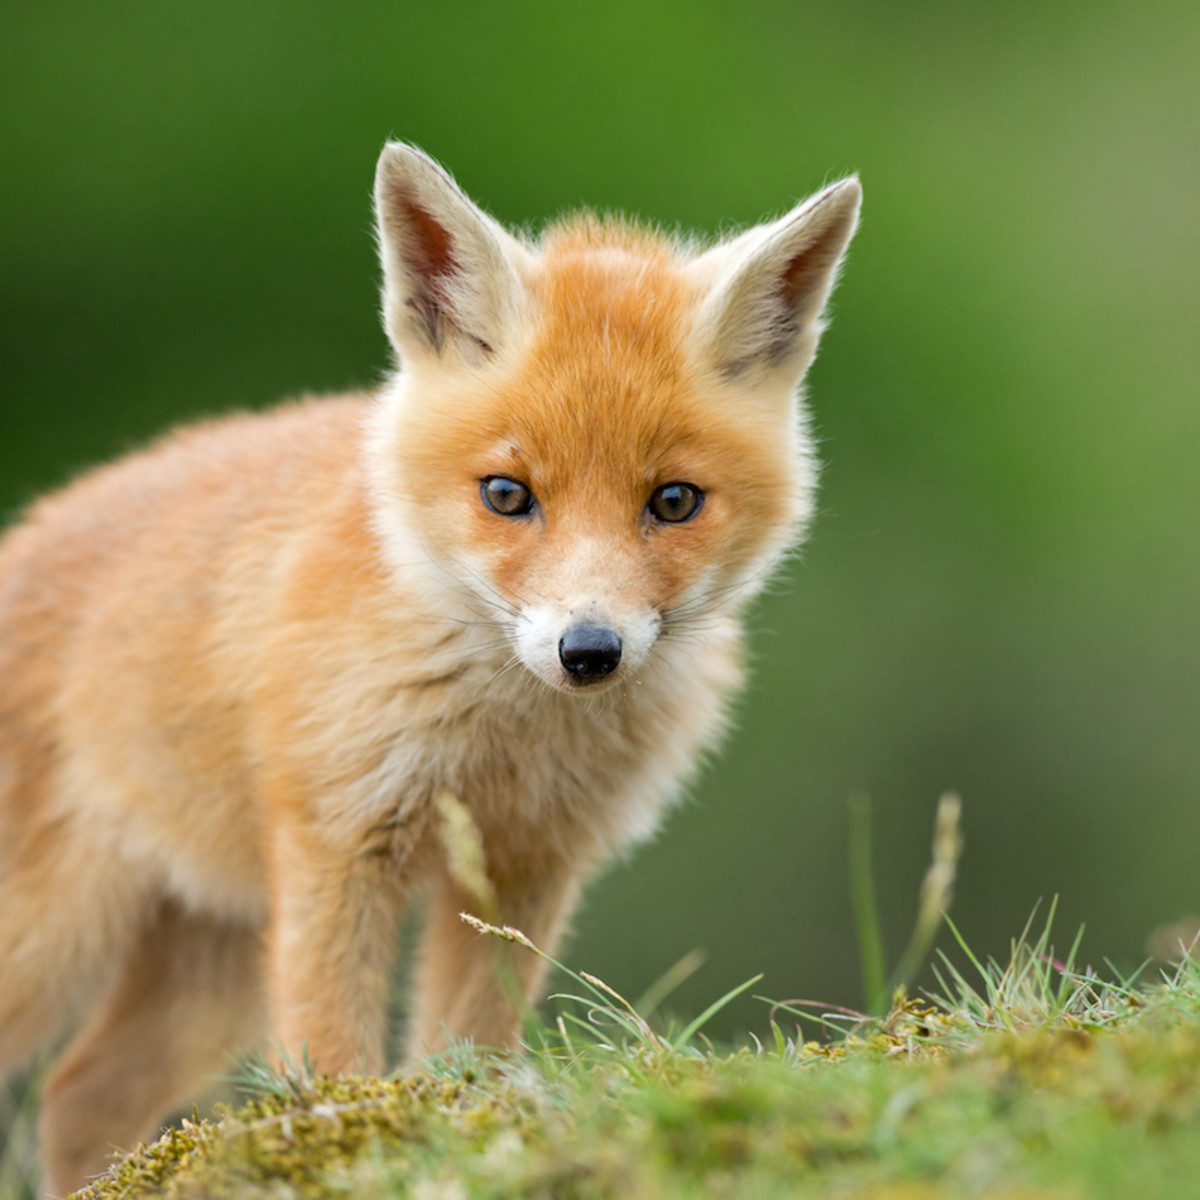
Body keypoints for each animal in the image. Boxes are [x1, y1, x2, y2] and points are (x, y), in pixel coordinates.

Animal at [0, 142, 860, 1194]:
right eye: (507, 494)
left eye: (673, 501)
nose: (588, 651)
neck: (505, 737)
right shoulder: (340, 838)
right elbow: (333, 1059)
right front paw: (339, 1143)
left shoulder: (523, 863)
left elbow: (468, 1045)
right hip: (56, 943)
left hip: (211, 966)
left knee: (77, 1093)